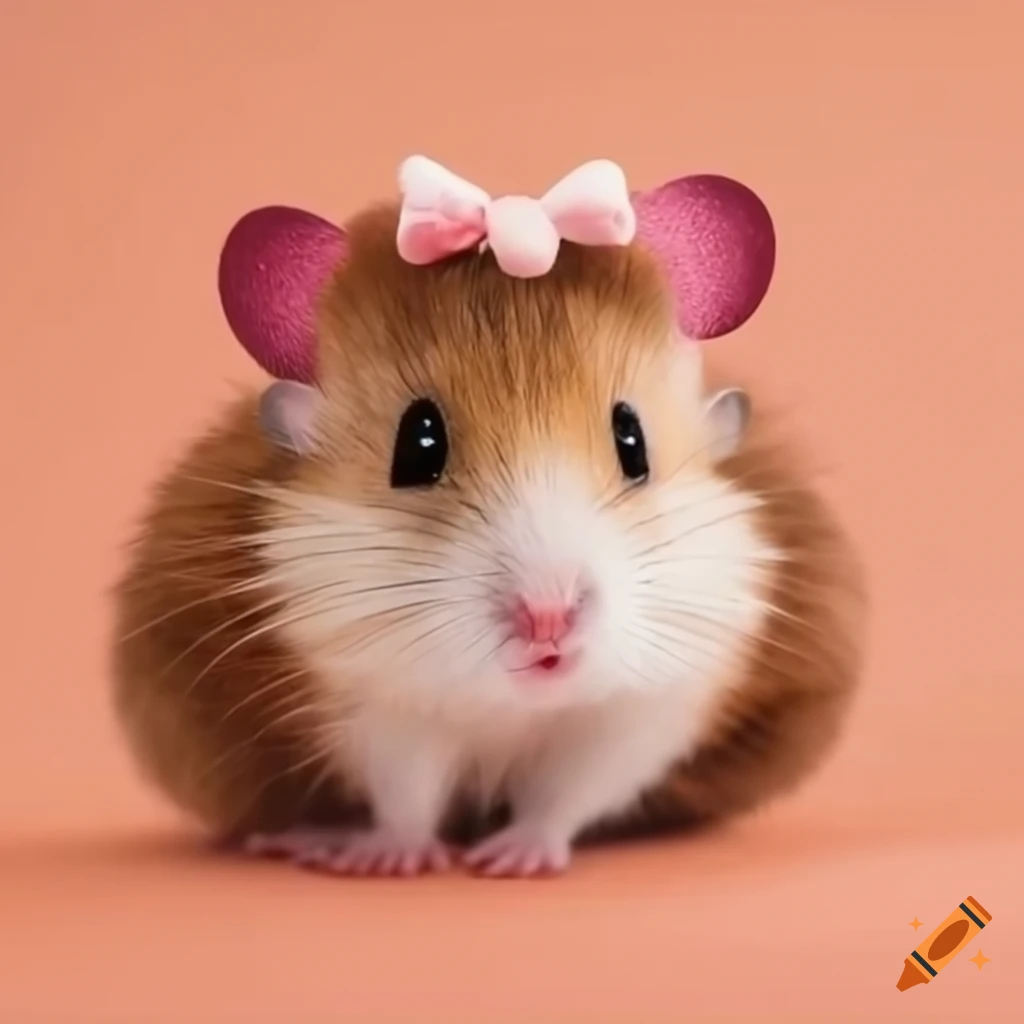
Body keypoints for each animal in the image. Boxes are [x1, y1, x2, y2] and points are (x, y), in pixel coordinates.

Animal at [111, 203, 864, 878]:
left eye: (633, 442)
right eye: (417, 446)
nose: (548, 619)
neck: (514, 709)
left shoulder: (641, 713)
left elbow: (567, 797)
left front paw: (511, 862)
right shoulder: (382, 710)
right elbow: (406, 798)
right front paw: (391, 862)